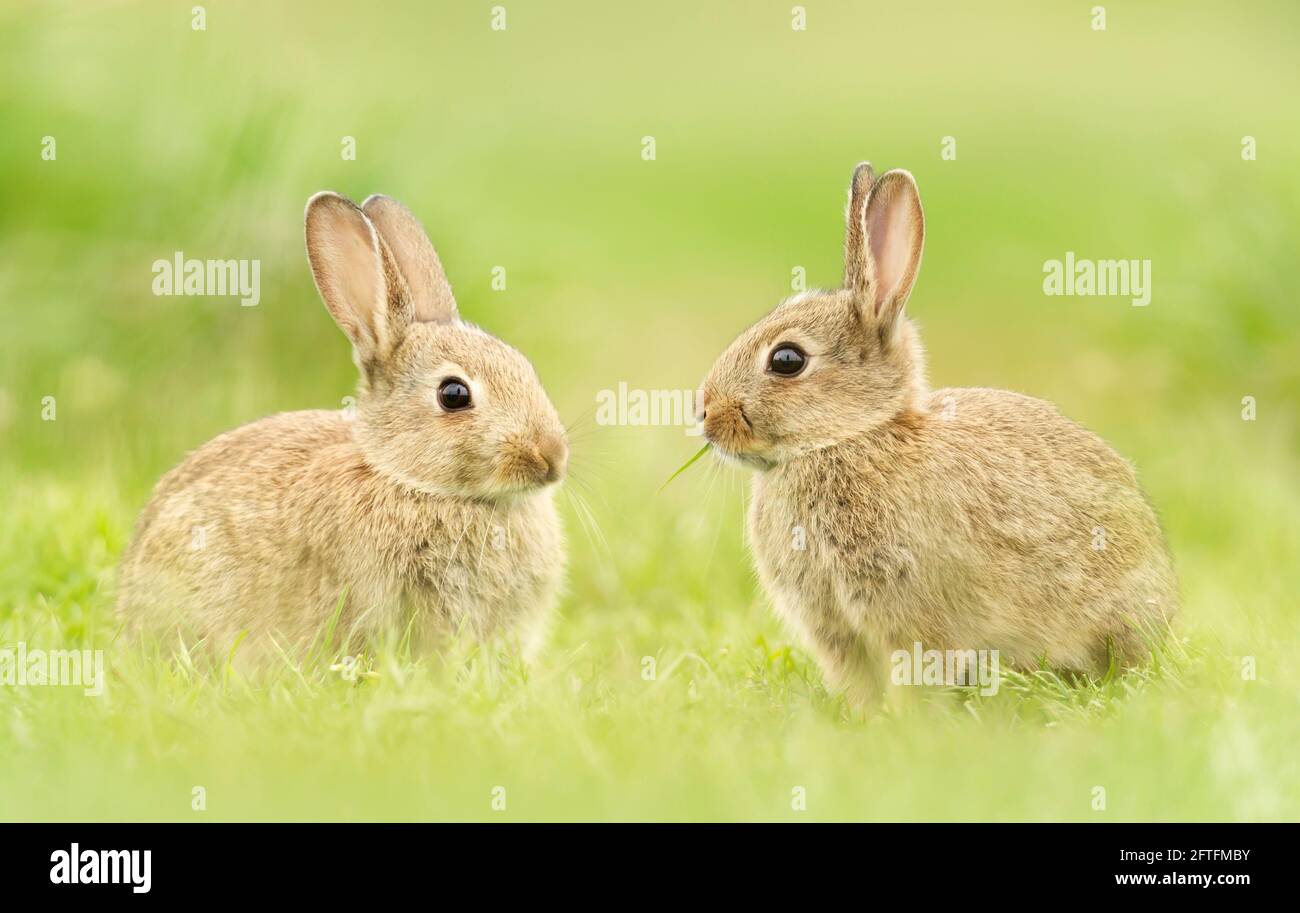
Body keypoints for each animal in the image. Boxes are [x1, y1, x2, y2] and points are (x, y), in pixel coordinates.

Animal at [696, 163, 1177, 703]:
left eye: (786, 360)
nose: (704, 413)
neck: (851, 437)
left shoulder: (910, 618)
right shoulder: (837, 632)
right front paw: (863, 716)